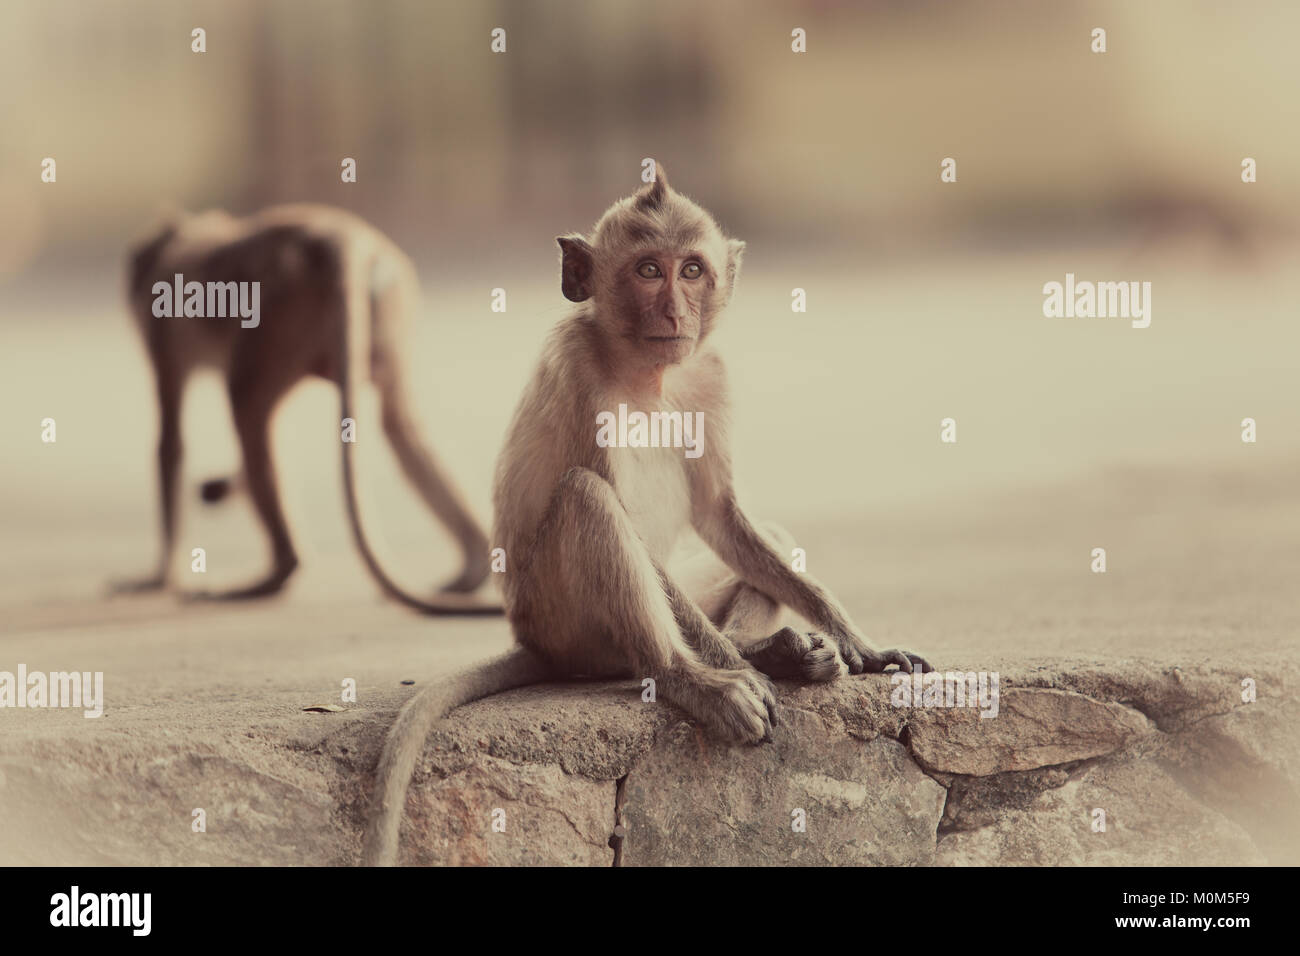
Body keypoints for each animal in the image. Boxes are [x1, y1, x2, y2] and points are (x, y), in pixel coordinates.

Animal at [113, 204, 500, 615]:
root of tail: (338, 237)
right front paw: (225, 486)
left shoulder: (159, 328)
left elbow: (171, 443)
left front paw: (159, 578)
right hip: (388, 299)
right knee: (398, 423)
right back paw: (472, 568)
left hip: (280, 306)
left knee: (246, 402)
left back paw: (274, 575)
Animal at [361, 168, 932, 865]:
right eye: (648, 270)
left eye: (691, 270)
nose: (675, 311)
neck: (651, 373)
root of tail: (533, 641)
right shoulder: (577, 370)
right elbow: (620, 513)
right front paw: (735, 676)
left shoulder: (710, 372)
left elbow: (721, 514)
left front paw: (856, 644)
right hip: (572, 627)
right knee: (588, 499)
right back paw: (695, 678)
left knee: (748, 544)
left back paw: (775, 651)